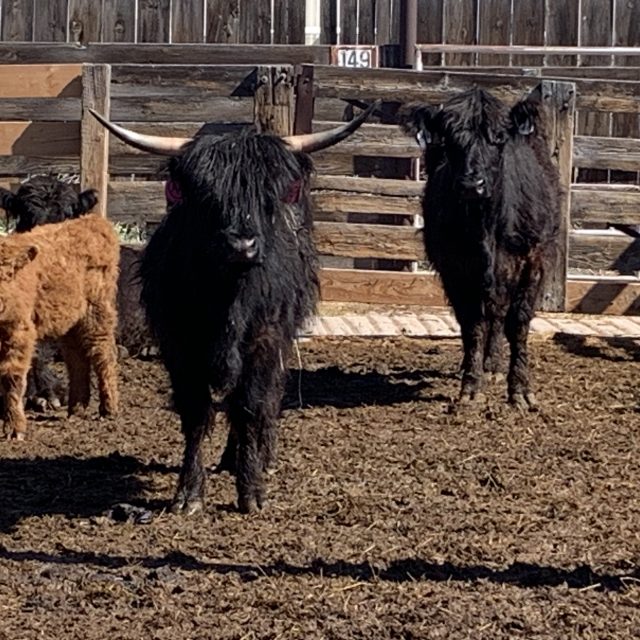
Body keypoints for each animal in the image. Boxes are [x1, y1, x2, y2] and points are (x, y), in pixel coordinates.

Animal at [0, 213, 120, 440]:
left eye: (6, 276)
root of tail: (92, 220)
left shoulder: (19, 332)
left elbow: (11, 379)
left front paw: (14, 428)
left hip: (97, 313)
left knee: (103, 354)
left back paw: (108, 409)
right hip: (71, 322)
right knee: (77, 359)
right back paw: (77, 408)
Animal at [89, 104, 377, 514]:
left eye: (265, 195)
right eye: (208, 198)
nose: (242, 245)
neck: (228, 300)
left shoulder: (265, 340)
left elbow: (249, 406)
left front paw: (251, 489)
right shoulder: (179, 344)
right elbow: (196, 411)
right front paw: (189, 493)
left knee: (267, 398)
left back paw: (259, 457)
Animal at [399, 88, 560, 408]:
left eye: (498, 137)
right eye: (450, 139)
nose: (472, 184)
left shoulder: (533, 261)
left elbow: (518, 322)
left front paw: (520, 390)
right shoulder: (455, 267)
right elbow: (472, 324)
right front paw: (471, 387)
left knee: (498, 315)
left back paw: (493, 366)